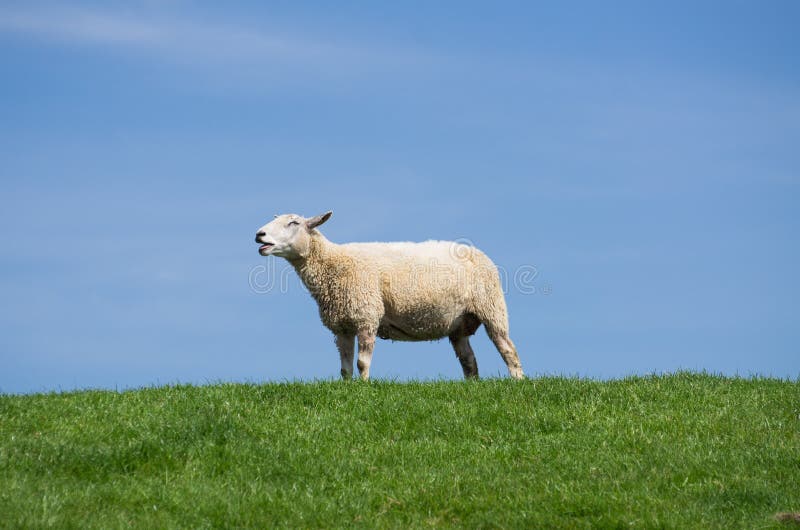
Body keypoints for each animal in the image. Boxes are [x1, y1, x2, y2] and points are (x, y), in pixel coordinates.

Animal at [254, 211, 524, 381]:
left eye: (294, 223)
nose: (259, 234)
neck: (333, 264)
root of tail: (477, 251)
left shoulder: (366, 316)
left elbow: (362, 362)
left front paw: (363, 387)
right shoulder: (342, 325)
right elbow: (345, 367)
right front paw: (347, 389)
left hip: (492, 308)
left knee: (508, 350)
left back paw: (517, 382)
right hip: (457, 324)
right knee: (469, 361)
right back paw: (473, 386)